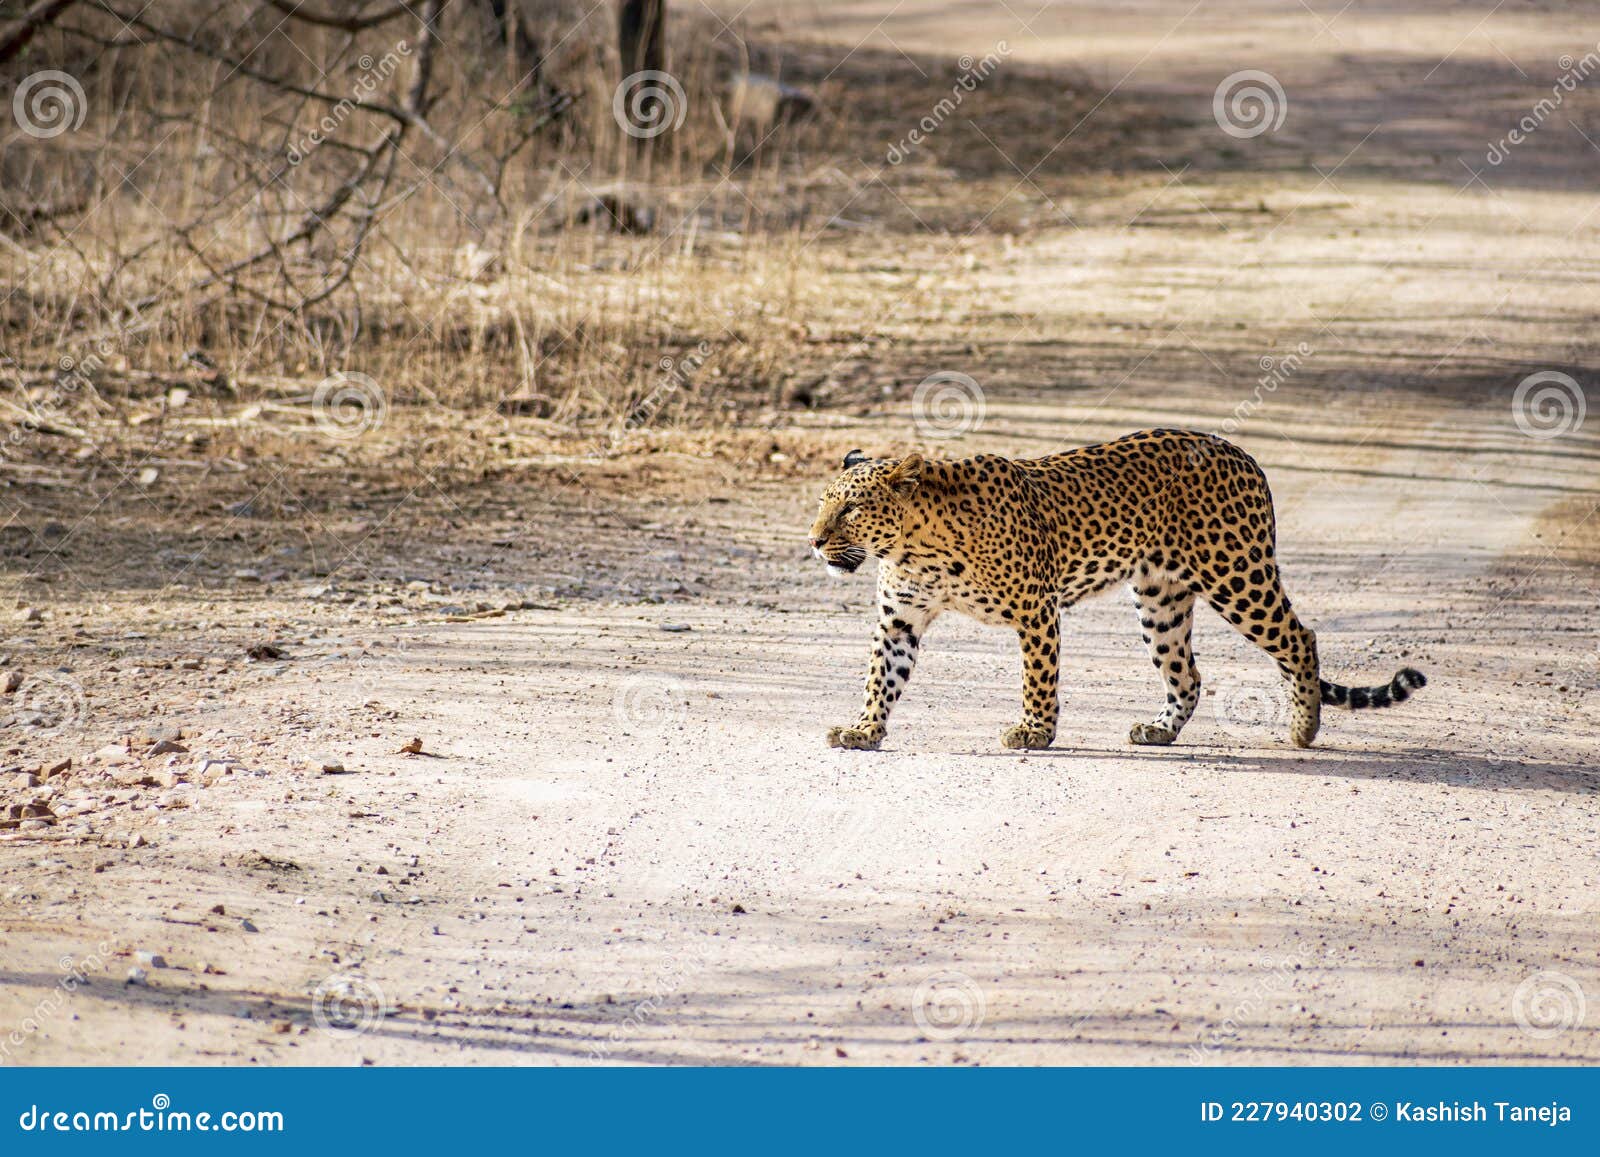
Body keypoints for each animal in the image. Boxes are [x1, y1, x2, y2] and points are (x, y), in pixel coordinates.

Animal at [807, 428, 1426, 751]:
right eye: (822, 502)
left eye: (852, 508)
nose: (813, 540)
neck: (917, 546)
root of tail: (1244, 455)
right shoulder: (899, 619)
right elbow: (880, 678)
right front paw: (864, 729)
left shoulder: (1036, 610)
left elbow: (1039, 679)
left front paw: (1034, 732)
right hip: (1160, 599)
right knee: (1188, 674)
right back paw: (1160, 729)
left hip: (1237, 576)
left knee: (1301, 638)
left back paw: (1304, 728)